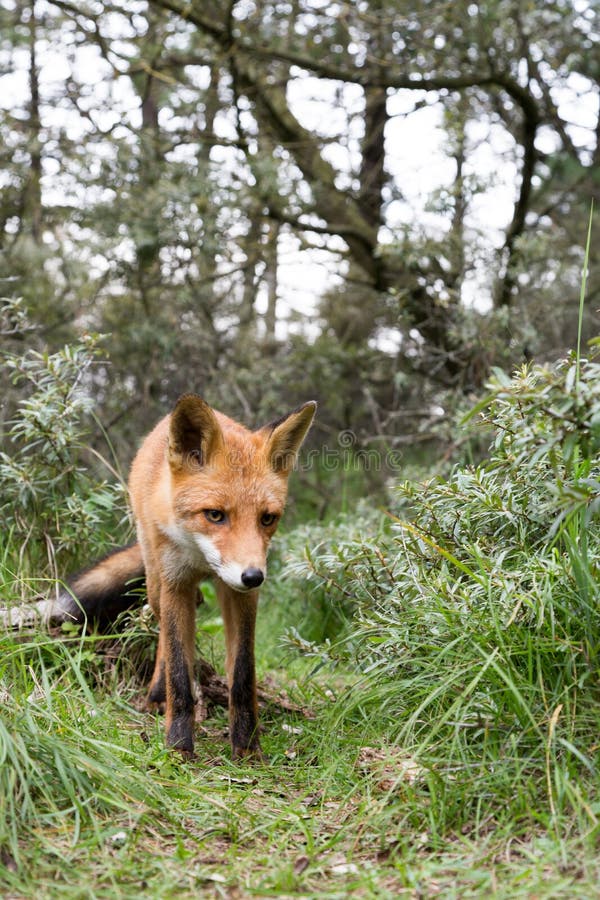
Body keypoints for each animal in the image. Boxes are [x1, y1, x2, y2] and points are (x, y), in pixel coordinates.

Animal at [46, 395, 316, 760]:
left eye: (267, 518)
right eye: (215, 515)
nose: (253, 576)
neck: (201, 559)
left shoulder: (241, 595)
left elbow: (243, 673)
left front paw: (246, 746)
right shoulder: (175, 582)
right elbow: (178, 668)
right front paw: (178, 746)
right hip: (156, 580)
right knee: (164, 634)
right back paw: (157, 694)